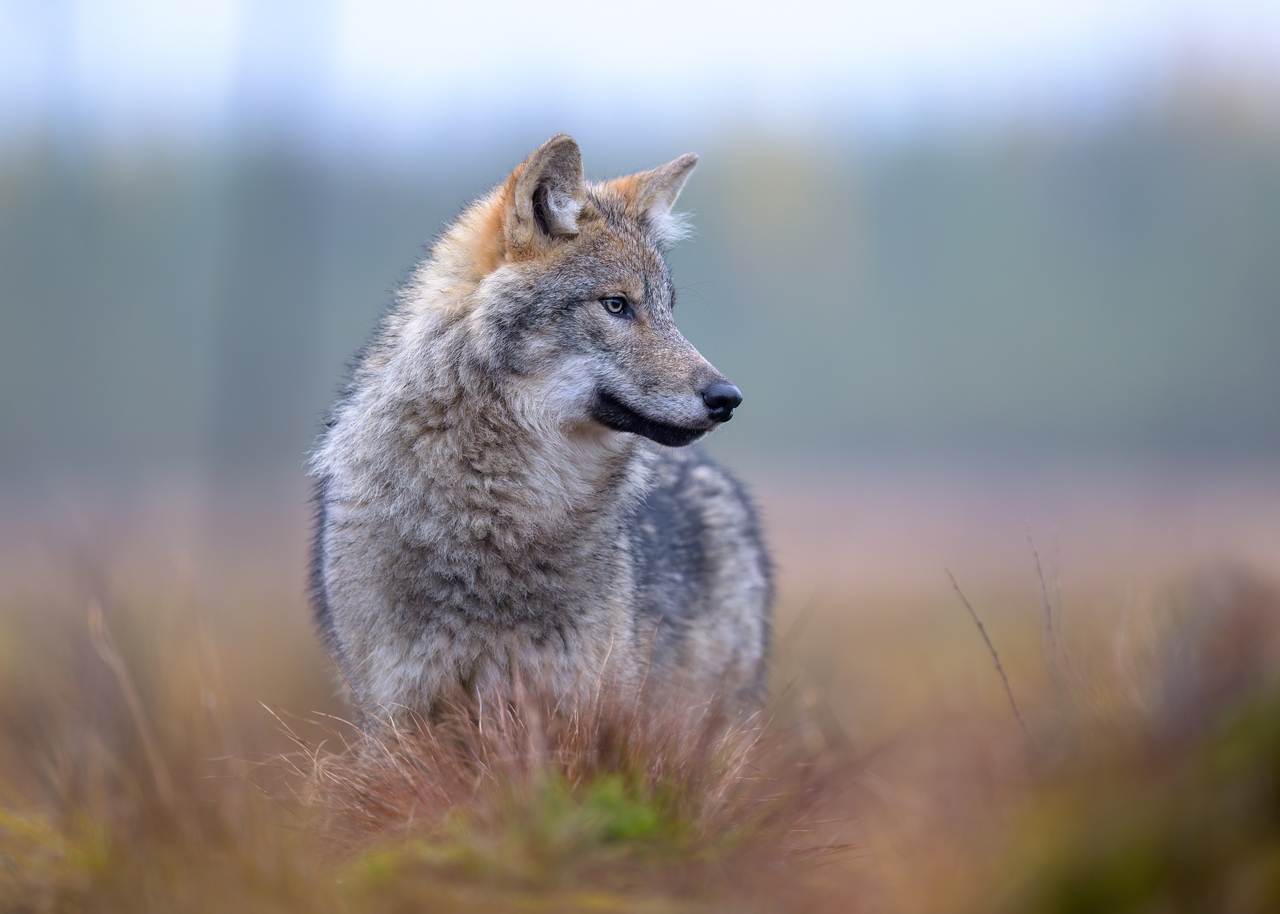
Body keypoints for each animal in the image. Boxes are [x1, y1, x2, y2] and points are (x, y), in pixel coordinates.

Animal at [309, 135, 771, 720]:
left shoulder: (578, 702)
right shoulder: (397, 710)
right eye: (616, 305)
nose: (727, 398)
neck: (498, 514)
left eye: (669, 311)